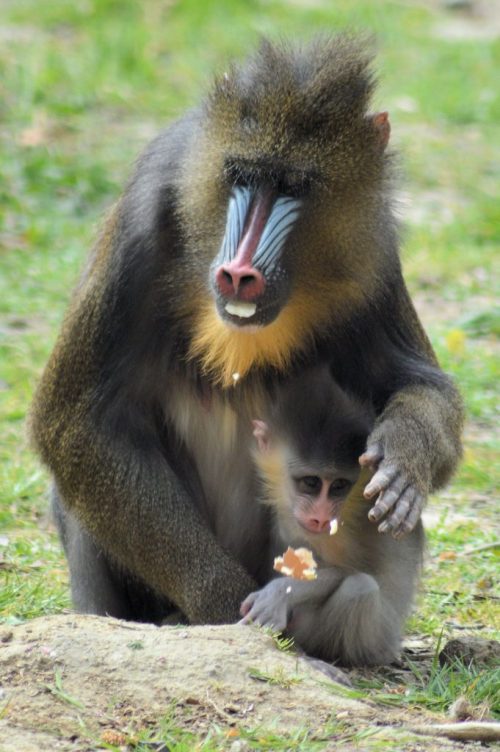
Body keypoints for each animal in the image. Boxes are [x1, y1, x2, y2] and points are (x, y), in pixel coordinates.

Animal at [30, 36, 463, 626]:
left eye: (294, 185)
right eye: (240, 175)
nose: (239, 272)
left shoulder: (372, 256)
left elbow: (421, 384)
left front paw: (403, 460)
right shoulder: (141, 227)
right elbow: (76, 420)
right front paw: (224, 603)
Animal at [240, 367, 424, 667]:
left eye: (338, 485)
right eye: (311, 482)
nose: (321, 517)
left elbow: (350, 572)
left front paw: (280, 593)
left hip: (372, 643)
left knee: (361, 587)